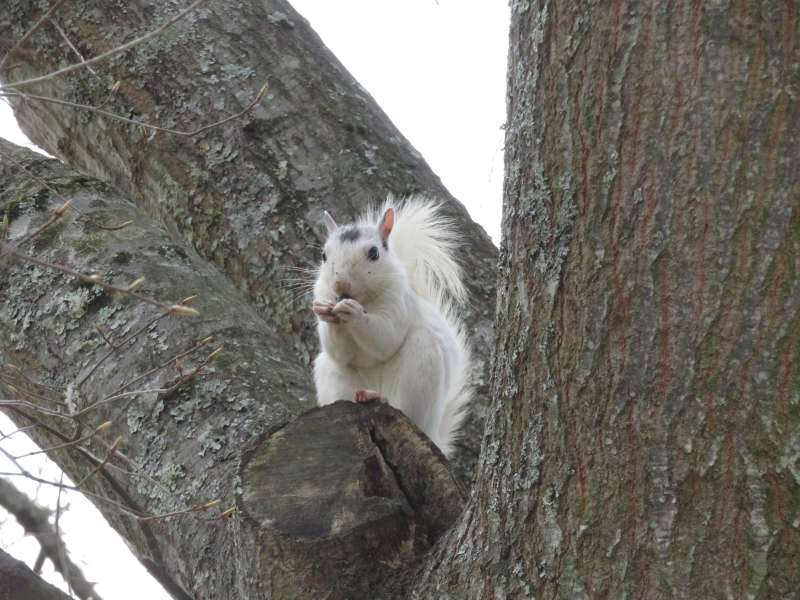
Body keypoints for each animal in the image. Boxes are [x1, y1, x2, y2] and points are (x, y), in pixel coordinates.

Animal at [312, 197, 472, 457]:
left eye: (374, 253)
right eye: (324, 255)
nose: (339, 285)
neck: (365, 300)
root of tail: (432, 430)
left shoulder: (399, 304)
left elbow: (385, 338)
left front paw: (354, 313)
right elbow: (340, 352)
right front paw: (325, 312)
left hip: (419, 374)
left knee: (402, 406)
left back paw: (378, 397)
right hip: (332, 375)